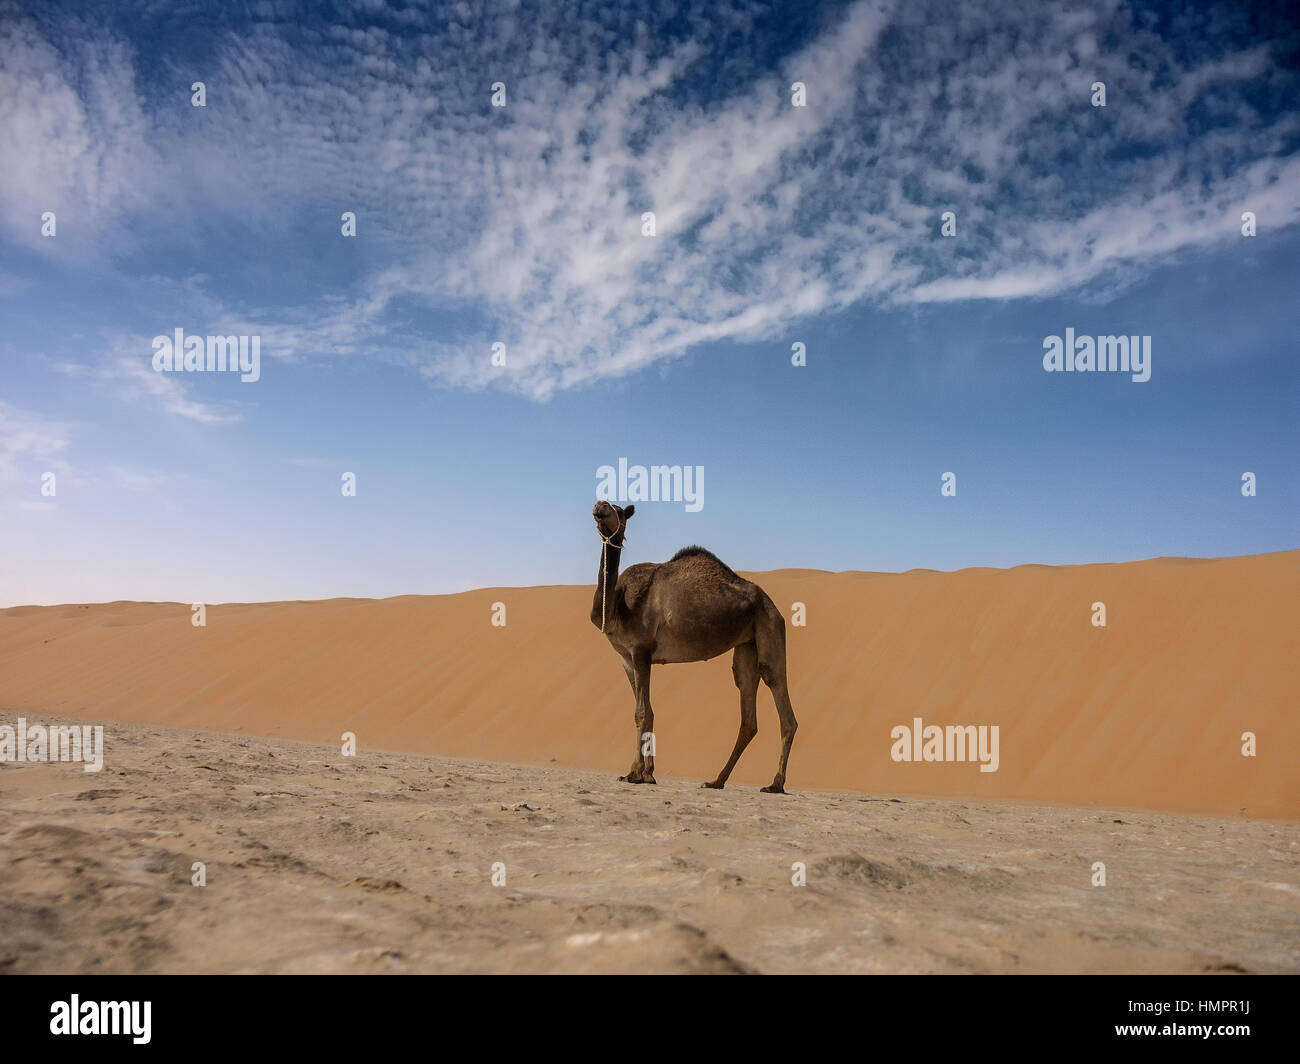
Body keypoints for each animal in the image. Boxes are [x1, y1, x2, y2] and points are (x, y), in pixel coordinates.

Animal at [590, 500, 797, 793]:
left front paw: (641, 774)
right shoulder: (626, 658)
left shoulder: (641, 651)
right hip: (747, 646)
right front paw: (638, 772)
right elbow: (643, 711)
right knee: (748, 712)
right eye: (604, 501)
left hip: (770, 627)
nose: (599, 507)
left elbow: (642, 712)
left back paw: (775, 783)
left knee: (780, 697)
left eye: (618, 511)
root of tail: (773, 605)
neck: (618, 607)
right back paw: (717, 780)